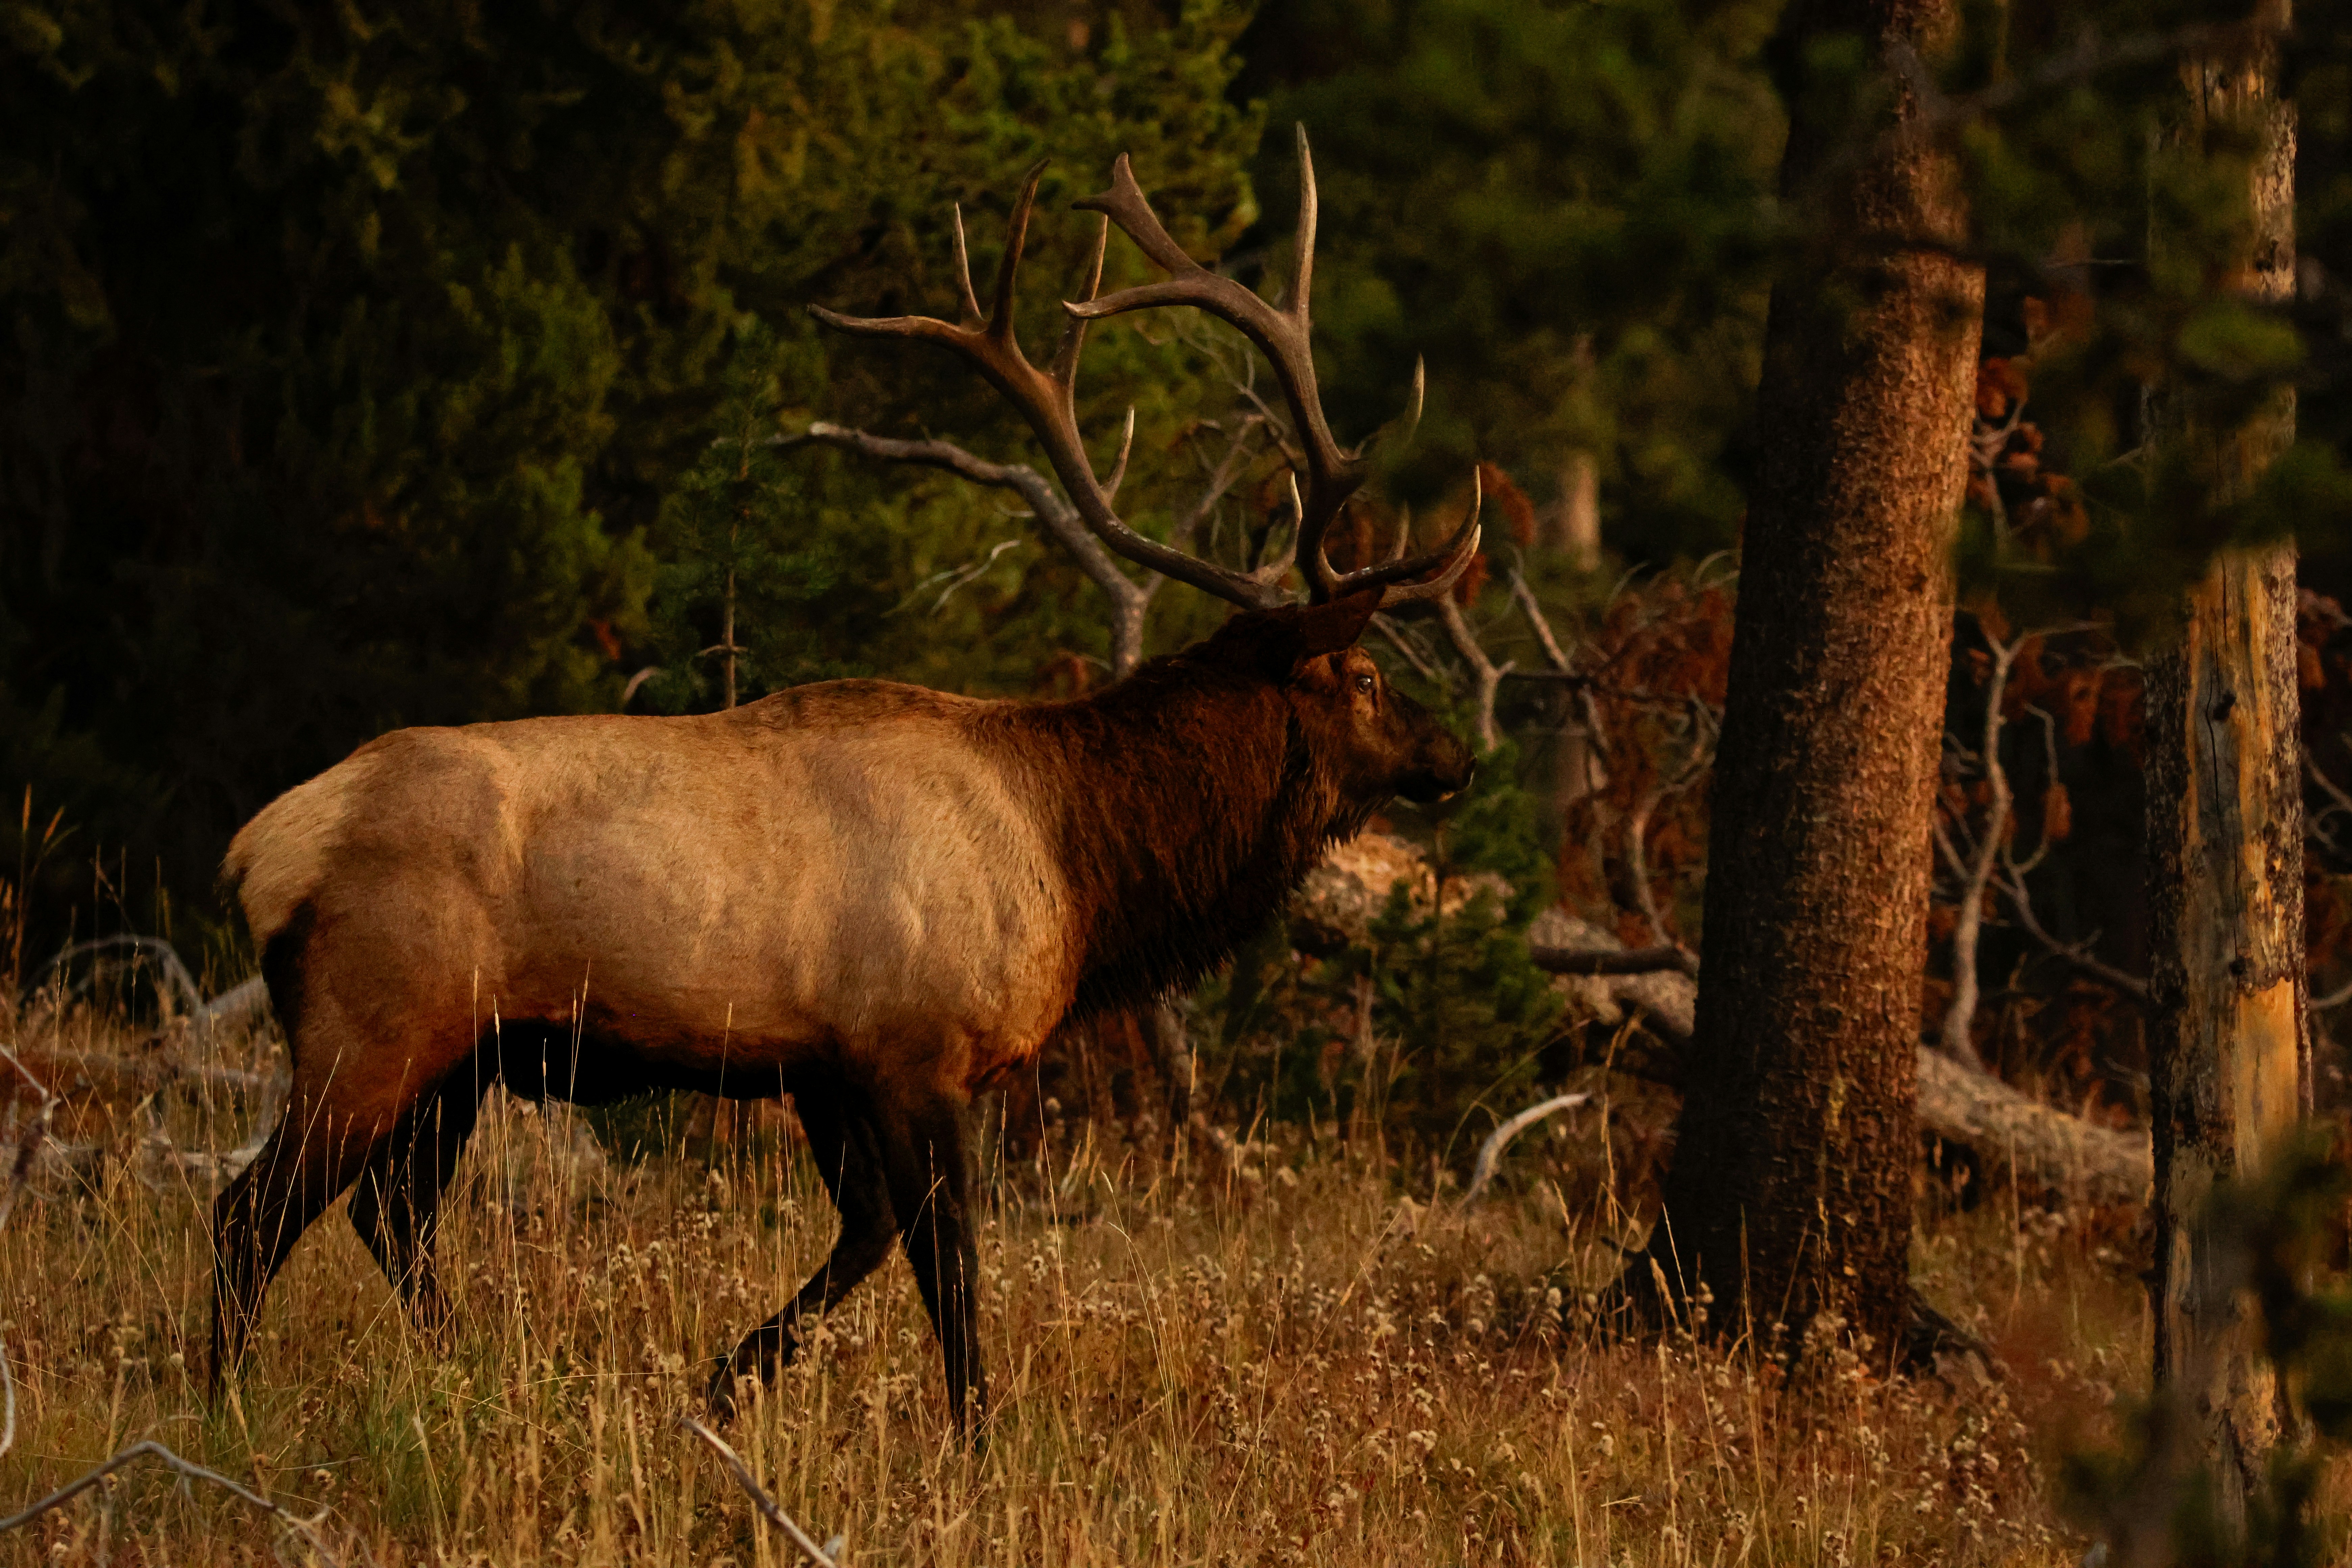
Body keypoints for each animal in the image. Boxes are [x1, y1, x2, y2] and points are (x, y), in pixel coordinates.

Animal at [208, 132, 1482, 1439]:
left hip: (453, 1058)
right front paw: (976, 1436)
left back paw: (466, 1374)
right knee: (253, 1212)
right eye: (1368, 676)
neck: (1082, 864)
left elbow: (866, 1237)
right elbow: (948, 1259)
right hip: (372, 1024)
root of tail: (258, 848)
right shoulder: (920, 1051)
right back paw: (223, 1407)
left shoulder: (826, 1067)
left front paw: (722, 1383)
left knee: (389, 1214)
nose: (1456, 756)